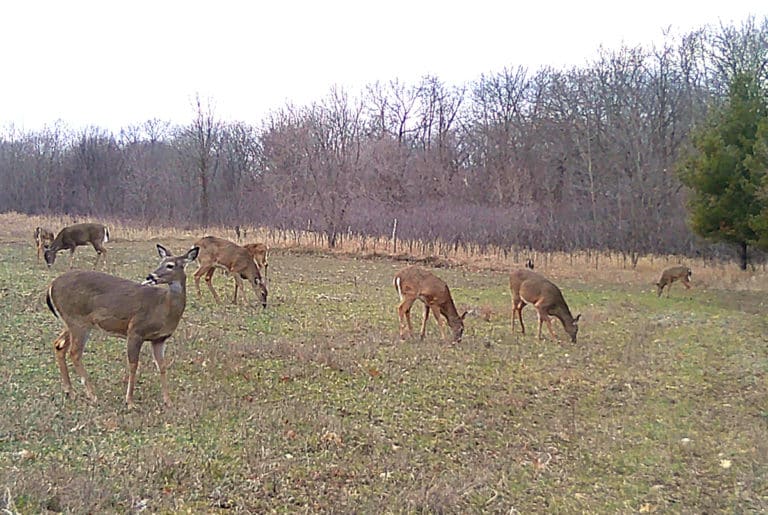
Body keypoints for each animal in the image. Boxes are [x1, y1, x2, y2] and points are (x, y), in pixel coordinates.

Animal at [46, 244, 200, 408]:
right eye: (161, 262)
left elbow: (162, 366)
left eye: (170, 265)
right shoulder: (135, 330)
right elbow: (133, 365)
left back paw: (70, 392)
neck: (164, 308)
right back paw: (92, 395)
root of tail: (52, 285)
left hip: (73, 322)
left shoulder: (159, 339)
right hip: (77, 321)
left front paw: (168, 401)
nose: (150, 276)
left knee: (59, 345)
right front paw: (130, 401)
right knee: (74, 353)